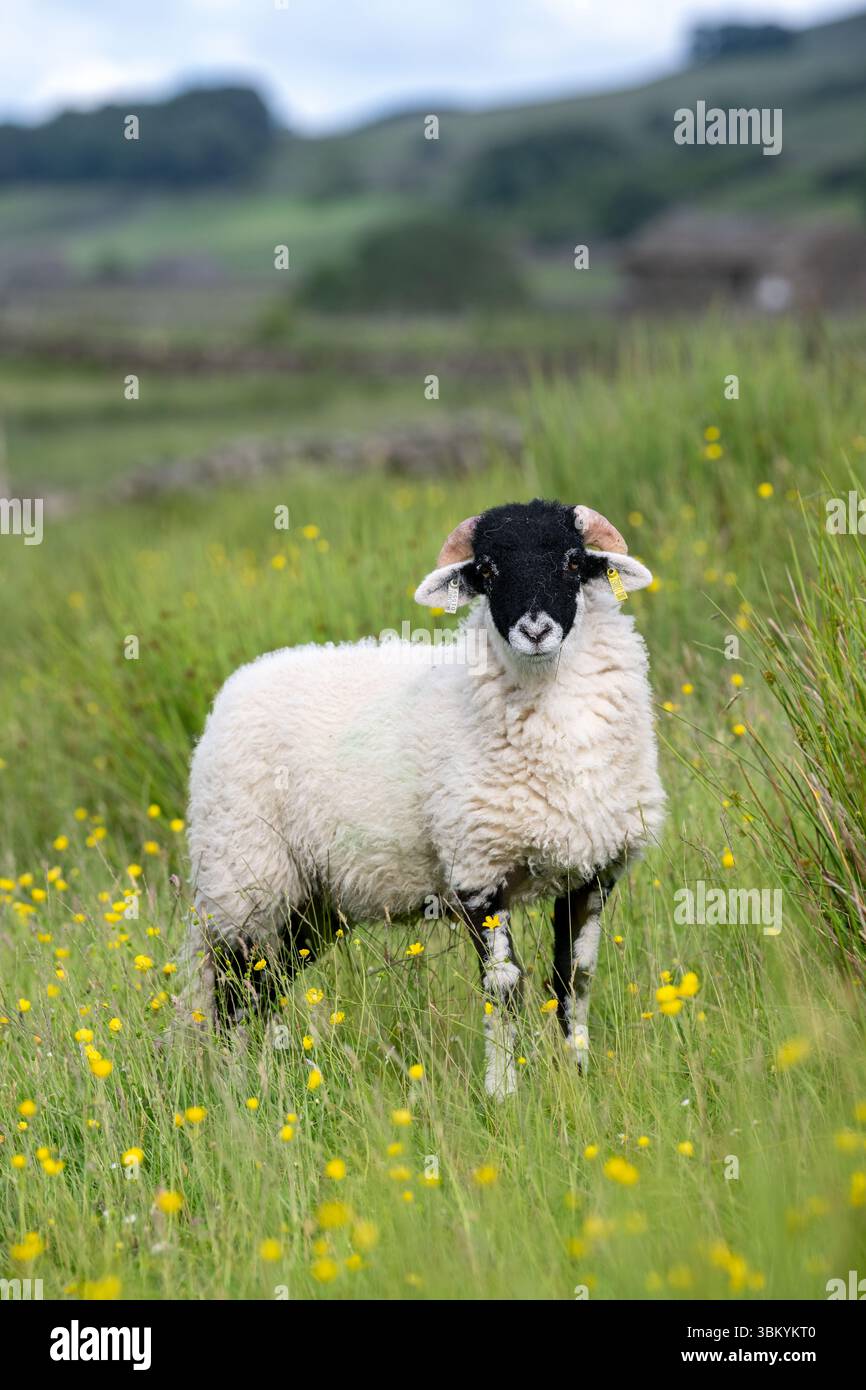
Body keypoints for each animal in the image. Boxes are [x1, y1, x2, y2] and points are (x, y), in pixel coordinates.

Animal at [180, 498, 665, 1096]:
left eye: (574, 562)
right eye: (487, 572)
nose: (534, 630)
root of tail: (235, 687)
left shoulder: (595, 869)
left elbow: (574, 979)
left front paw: (578, 1077)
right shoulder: (477, 869)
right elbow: (503, 985)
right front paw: (503, 1093)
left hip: (312, 901)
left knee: (266, 985)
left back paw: (269, 1078)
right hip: (244, 879)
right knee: (232, 989)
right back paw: (235, 1088)